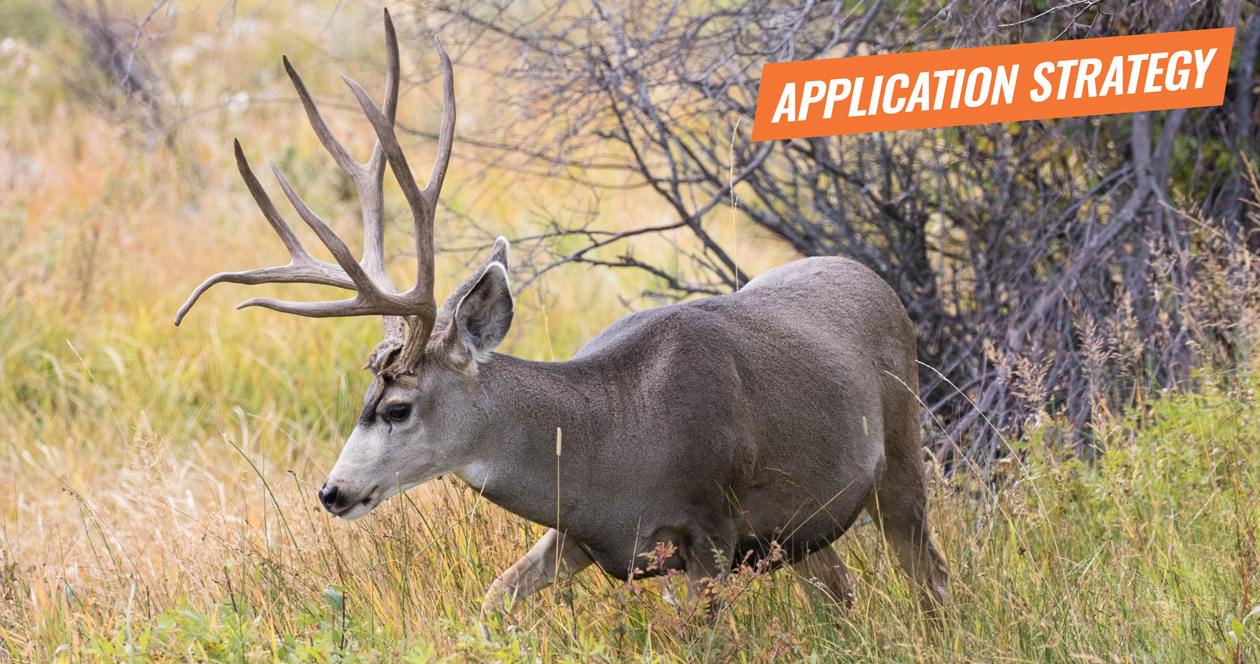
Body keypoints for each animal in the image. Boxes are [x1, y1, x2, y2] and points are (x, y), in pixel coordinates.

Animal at [174, 8, 948, 629]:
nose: (332, 493)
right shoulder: (582, 534)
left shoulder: (712, 529)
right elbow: (495, 598)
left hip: (900, 450)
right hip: (799, 527)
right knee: (841, 586)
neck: (614, 439)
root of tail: (869, 274)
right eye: (365, 396)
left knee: (928, 572)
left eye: (397, 408)